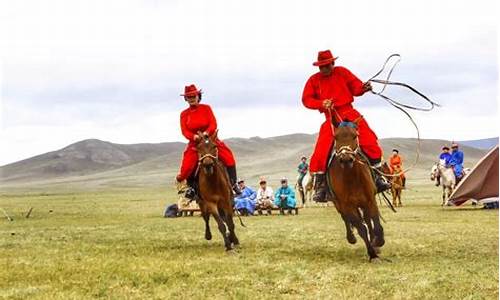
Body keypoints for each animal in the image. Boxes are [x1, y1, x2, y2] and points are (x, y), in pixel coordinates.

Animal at [328, 120, 386, 262]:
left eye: (355, 136)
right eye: (335, 137)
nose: (346, 159)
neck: (352, 177)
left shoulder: (370, 200)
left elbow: (376, 224)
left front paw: (378, 242)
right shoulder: (347, 205)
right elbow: (361, 229)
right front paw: (372, 254)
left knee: (368, 220)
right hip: (339, 204)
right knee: (346, 219)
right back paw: (351, 238)